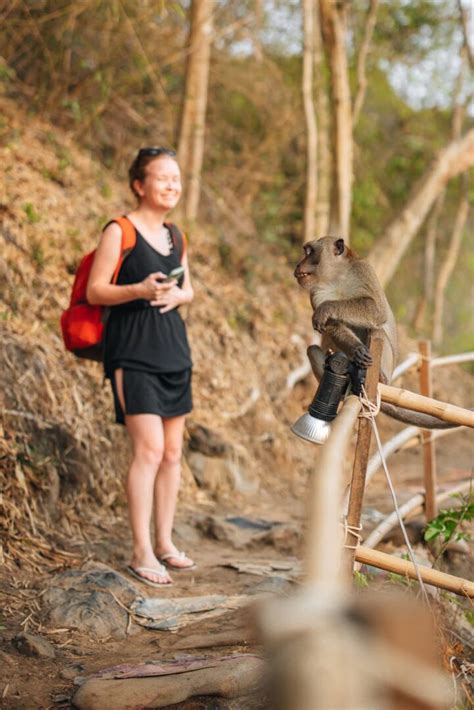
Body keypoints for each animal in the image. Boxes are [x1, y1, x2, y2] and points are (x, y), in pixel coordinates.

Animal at [294, 236, 459, 429]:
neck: (336, 278)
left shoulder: (363, 270)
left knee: (375, 327)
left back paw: (373, 375)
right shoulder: (315, 292)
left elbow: (377, 310)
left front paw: (327, 308)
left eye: (309, 251)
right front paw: (357, 349)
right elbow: (334, 327)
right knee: (312, 349)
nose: (299, 264)